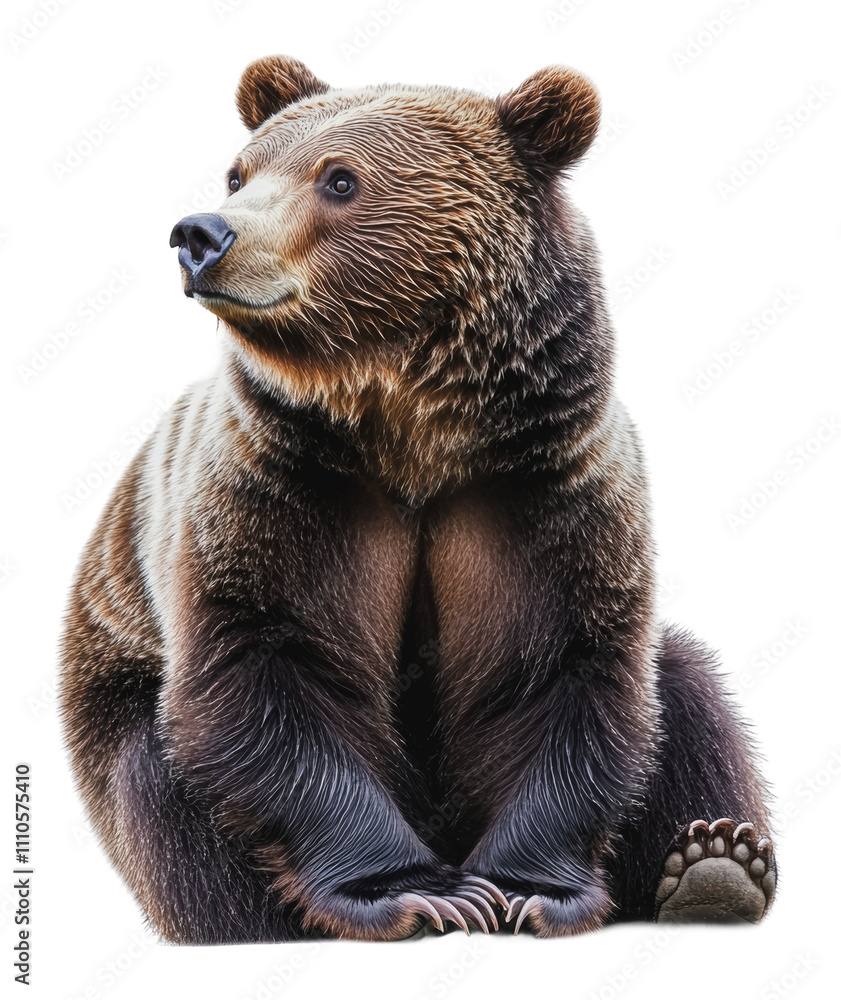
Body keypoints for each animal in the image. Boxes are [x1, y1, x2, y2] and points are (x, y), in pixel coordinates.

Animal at [59, 55, 776, 944]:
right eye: (238, 171)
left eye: (339, 178)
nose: (201, 235)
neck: (414, 427)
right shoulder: (281, 488)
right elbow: (271, 672)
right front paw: (414, 892)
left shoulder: (541, 489)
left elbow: (559, 673)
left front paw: (527, 889)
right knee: (160, 790)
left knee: (686, 693)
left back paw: (716, 862)